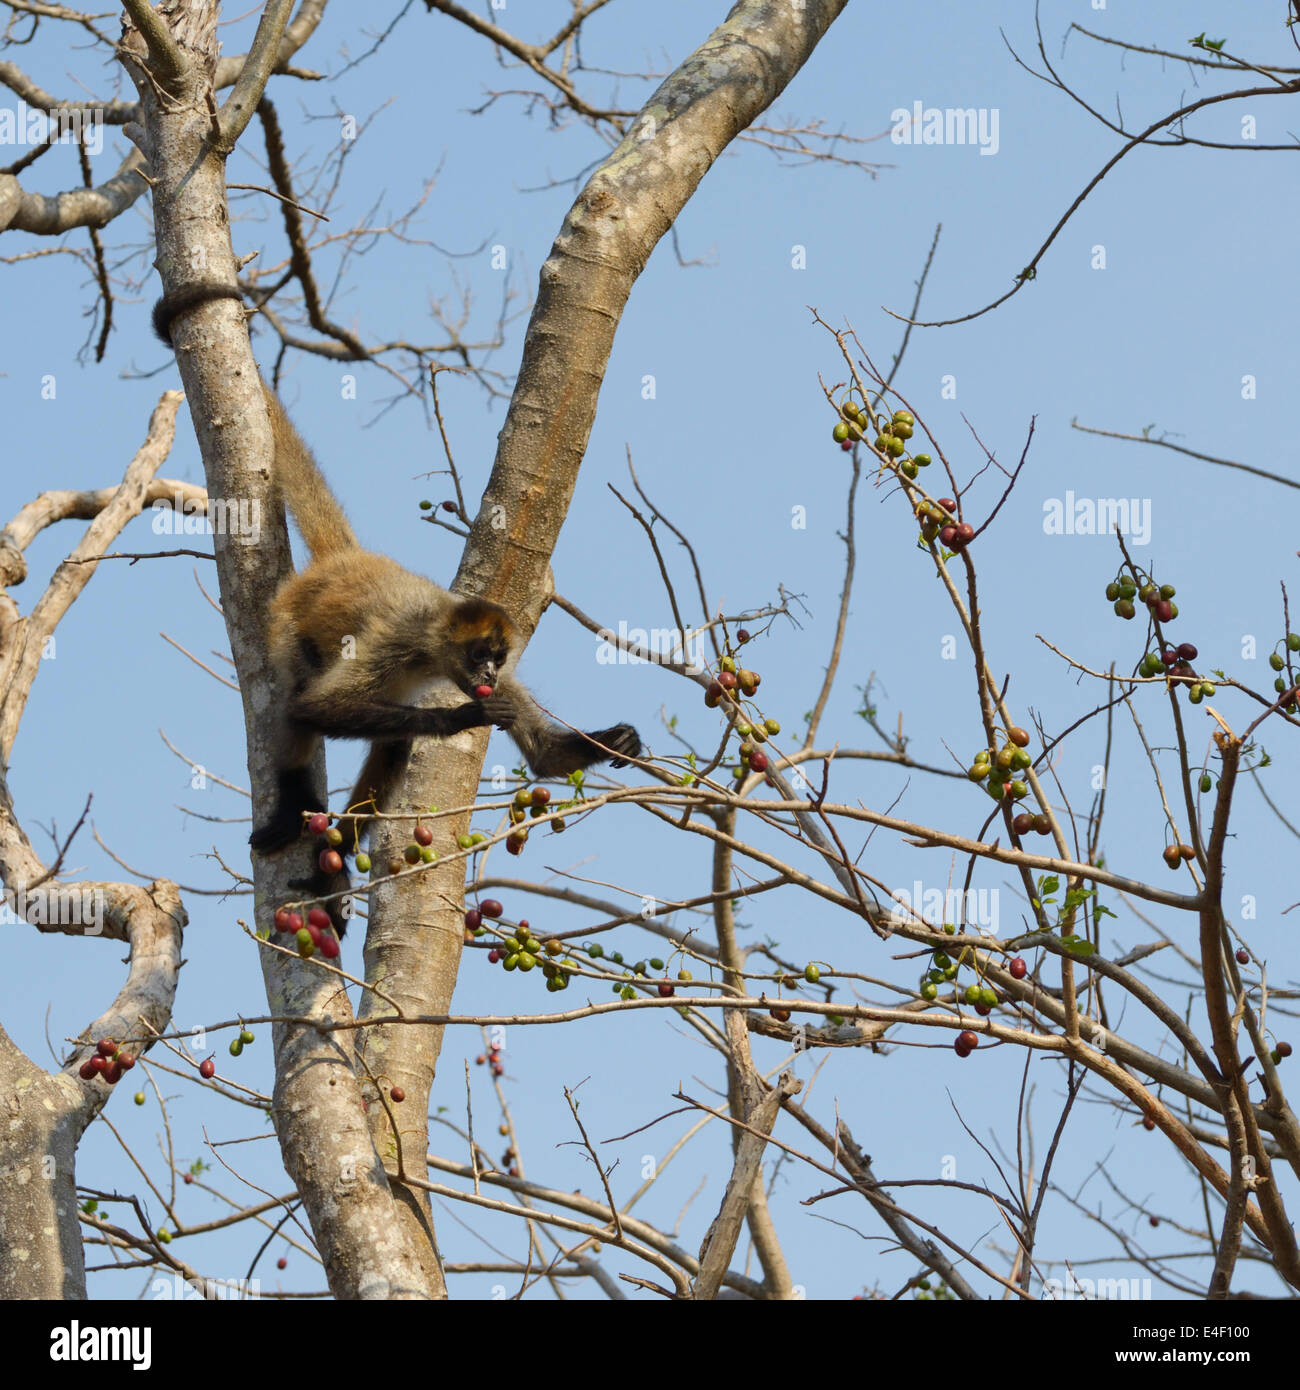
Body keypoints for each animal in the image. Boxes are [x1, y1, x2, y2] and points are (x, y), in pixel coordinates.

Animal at [153, 285, 642, 930]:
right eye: (480, 654)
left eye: (498, 657)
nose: (488, 675)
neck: (435, 646)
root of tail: (346, 560)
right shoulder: (399, 642)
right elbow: (315, 707)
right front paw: (461, 719)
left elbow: (542, 757)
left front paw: (620, 739)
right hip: (287, 622)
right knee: (298, 700)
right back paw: (299, 818)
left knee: (391, 742)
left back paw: (334, 856)